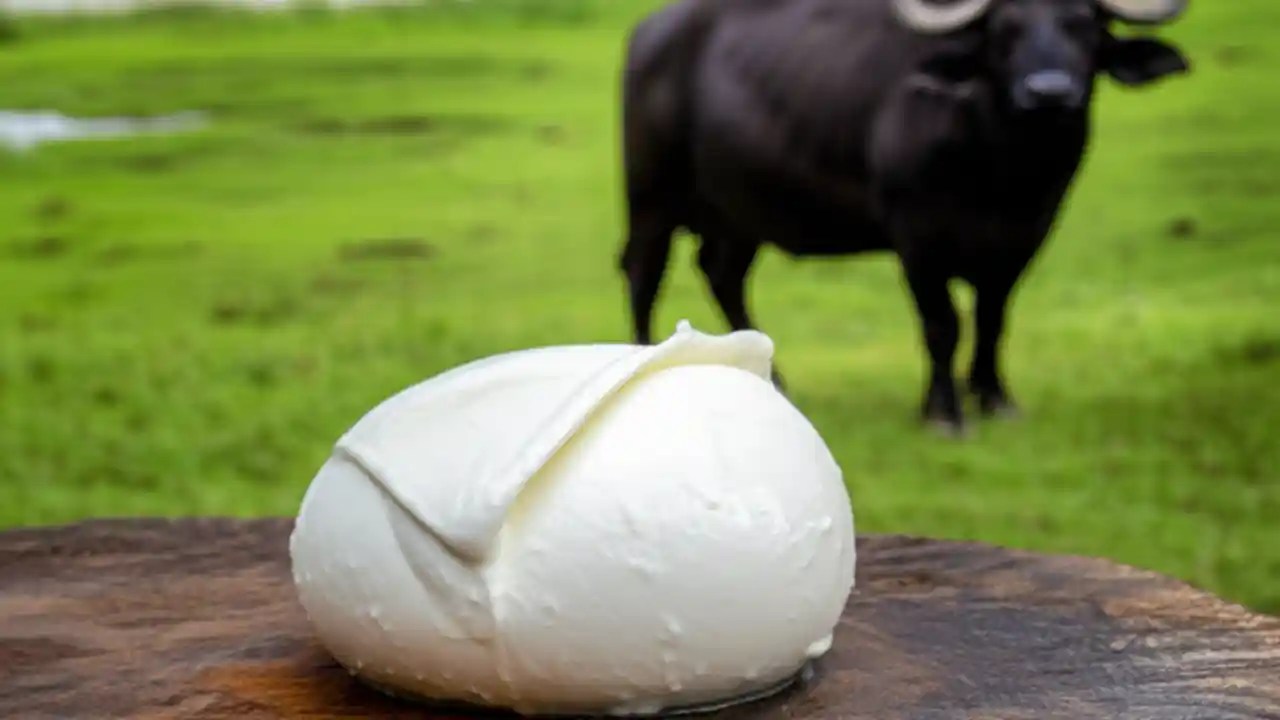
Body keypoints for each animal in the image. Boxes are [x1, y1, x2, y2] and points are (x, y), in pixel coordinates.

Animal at [619, 0, 1190, 433]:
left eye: (1086, 27)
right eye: (1004, 30)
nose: (1048, 93)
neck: (1000, 169)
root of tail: (650, 34)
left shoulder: (1025, 237)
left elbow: (992, 318)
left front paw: (994, 397)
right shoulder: (917, 239)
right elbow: (943, 324)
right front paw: (944, 412)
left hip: (738, 213)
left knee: (722, 273)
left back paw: (773, 378)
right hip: (651, 197)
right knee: (645, 273)